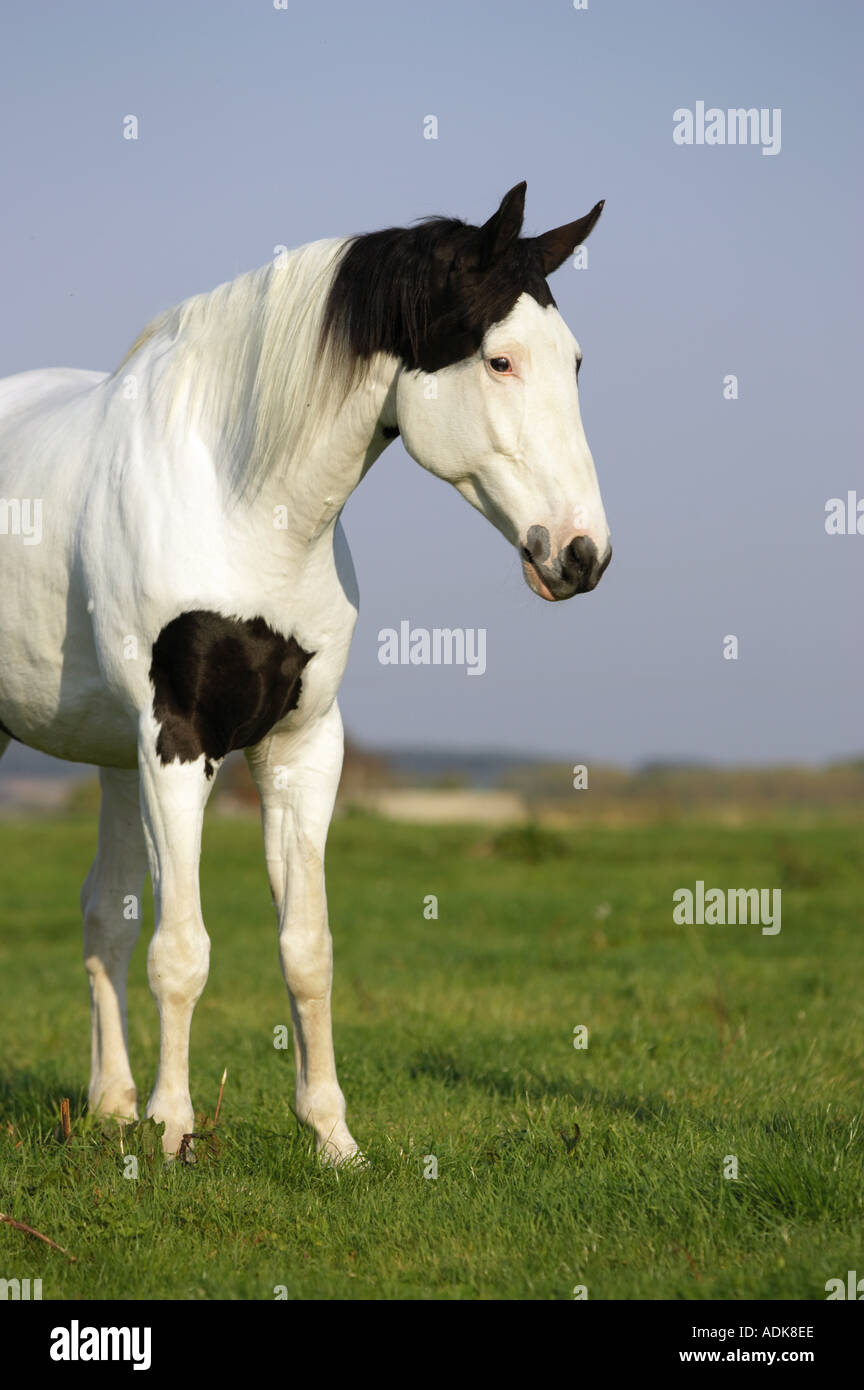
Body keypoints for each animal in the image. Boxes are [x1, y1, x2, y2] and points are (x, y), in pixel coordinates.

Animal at [0, 182, 610, 1162]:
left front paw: (331, 1135)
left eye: (576, 361)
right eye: (500, 359)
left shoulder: (299, 748)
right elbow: (183, 950)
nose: (583, 554)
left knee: (105, 916)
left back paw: (111, 1101)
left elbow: (305, 947)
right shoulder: (178, 743)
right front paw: (174, 1132)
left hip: (113, 760)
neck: (240, 496)